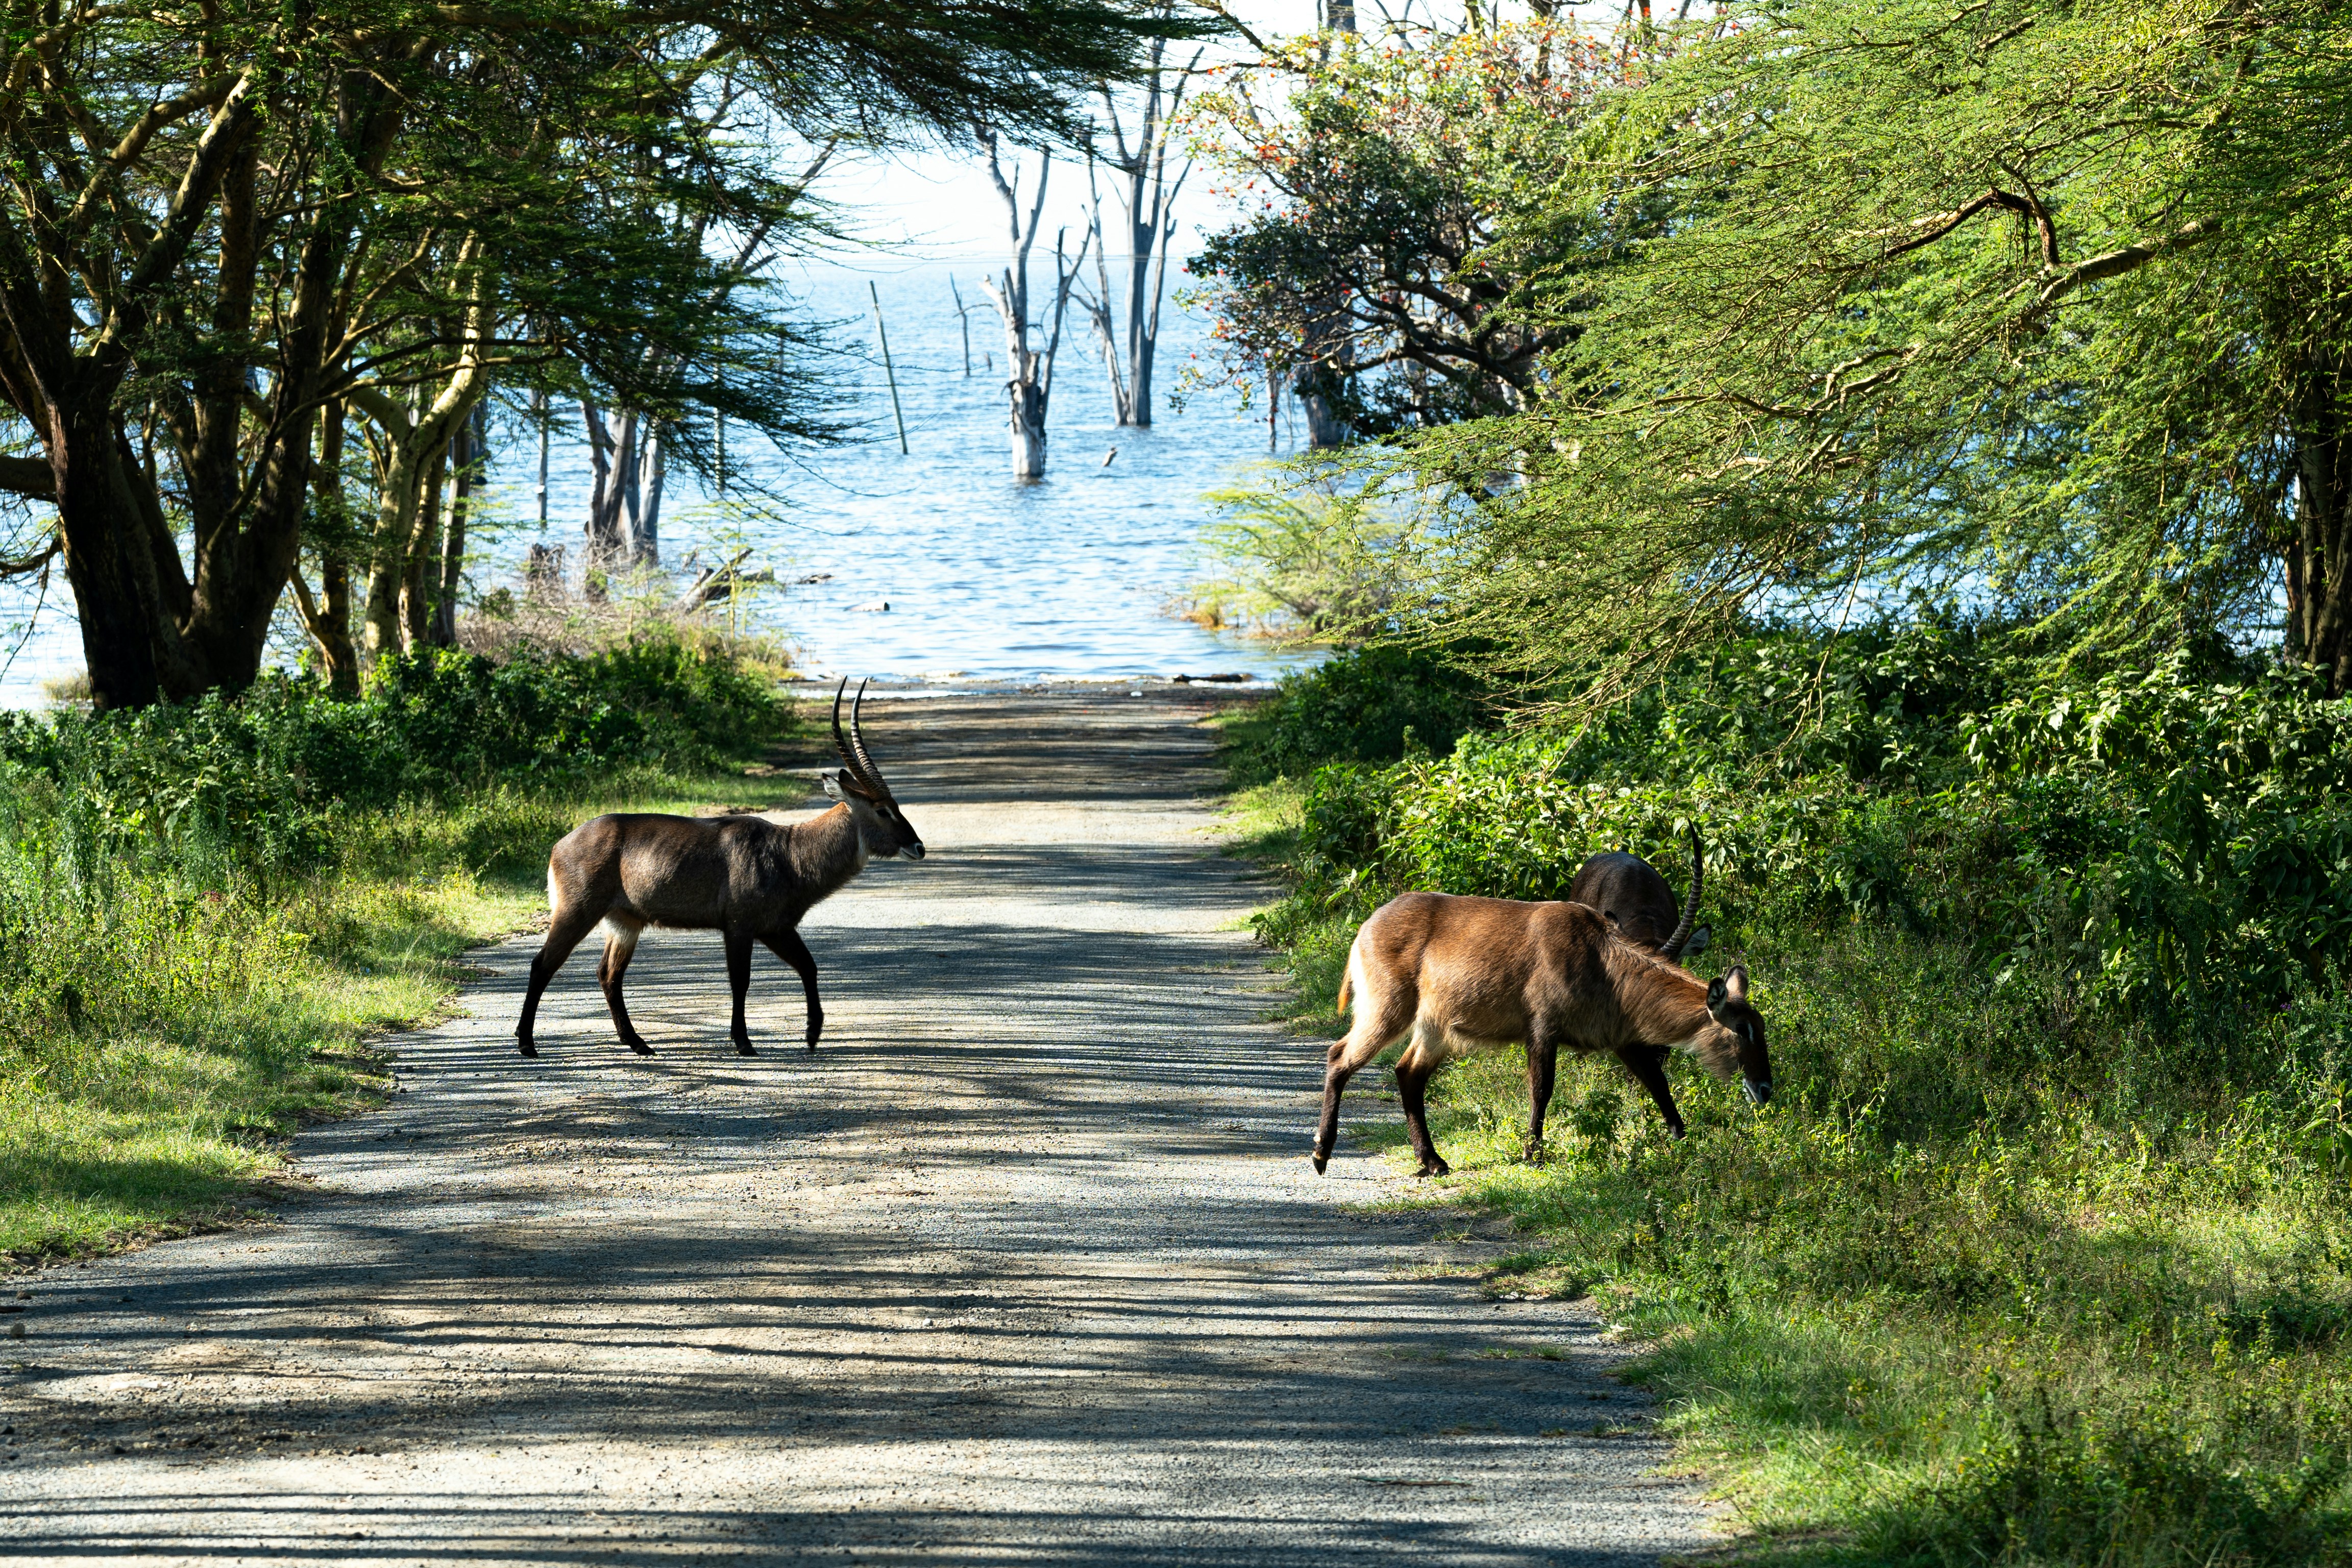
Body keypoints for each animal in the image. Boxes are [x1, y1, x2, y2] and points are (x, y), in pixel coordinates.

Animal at [514, 679, 924, 1060]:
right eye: (883, 810)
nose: (918, 847)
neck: (791, 852)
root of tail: (560, 844)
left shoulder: (776, 928)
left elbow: (809, 967)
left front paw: (811, 1035)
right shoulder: (740, 927)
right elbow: (741, 981)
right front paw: (744, 1043)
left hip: (625, 921)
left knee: (608, 976)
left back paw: (639, 1044)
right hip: (578, 911)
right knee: (543, 964)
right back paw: (527, 1044)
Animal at [1312, 878, 1771, 1178]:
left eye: (1761, 1027)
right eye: (1742, 1029)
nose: (1765, 1088)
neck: (1604, 961)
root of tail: (1367, 925)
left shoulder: (1621, 1040)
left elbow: (1657, 1083)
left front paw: (1682, 1139)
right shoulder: (1542, 1028)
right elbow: (1542, 1090)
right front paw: (1533, 1153)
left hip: (1435, 1028)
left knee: (1408, 1073)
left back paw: (1433, 1162)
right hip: (1388, 1009)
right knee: (1339, 1056)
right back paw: (1321, 1154)